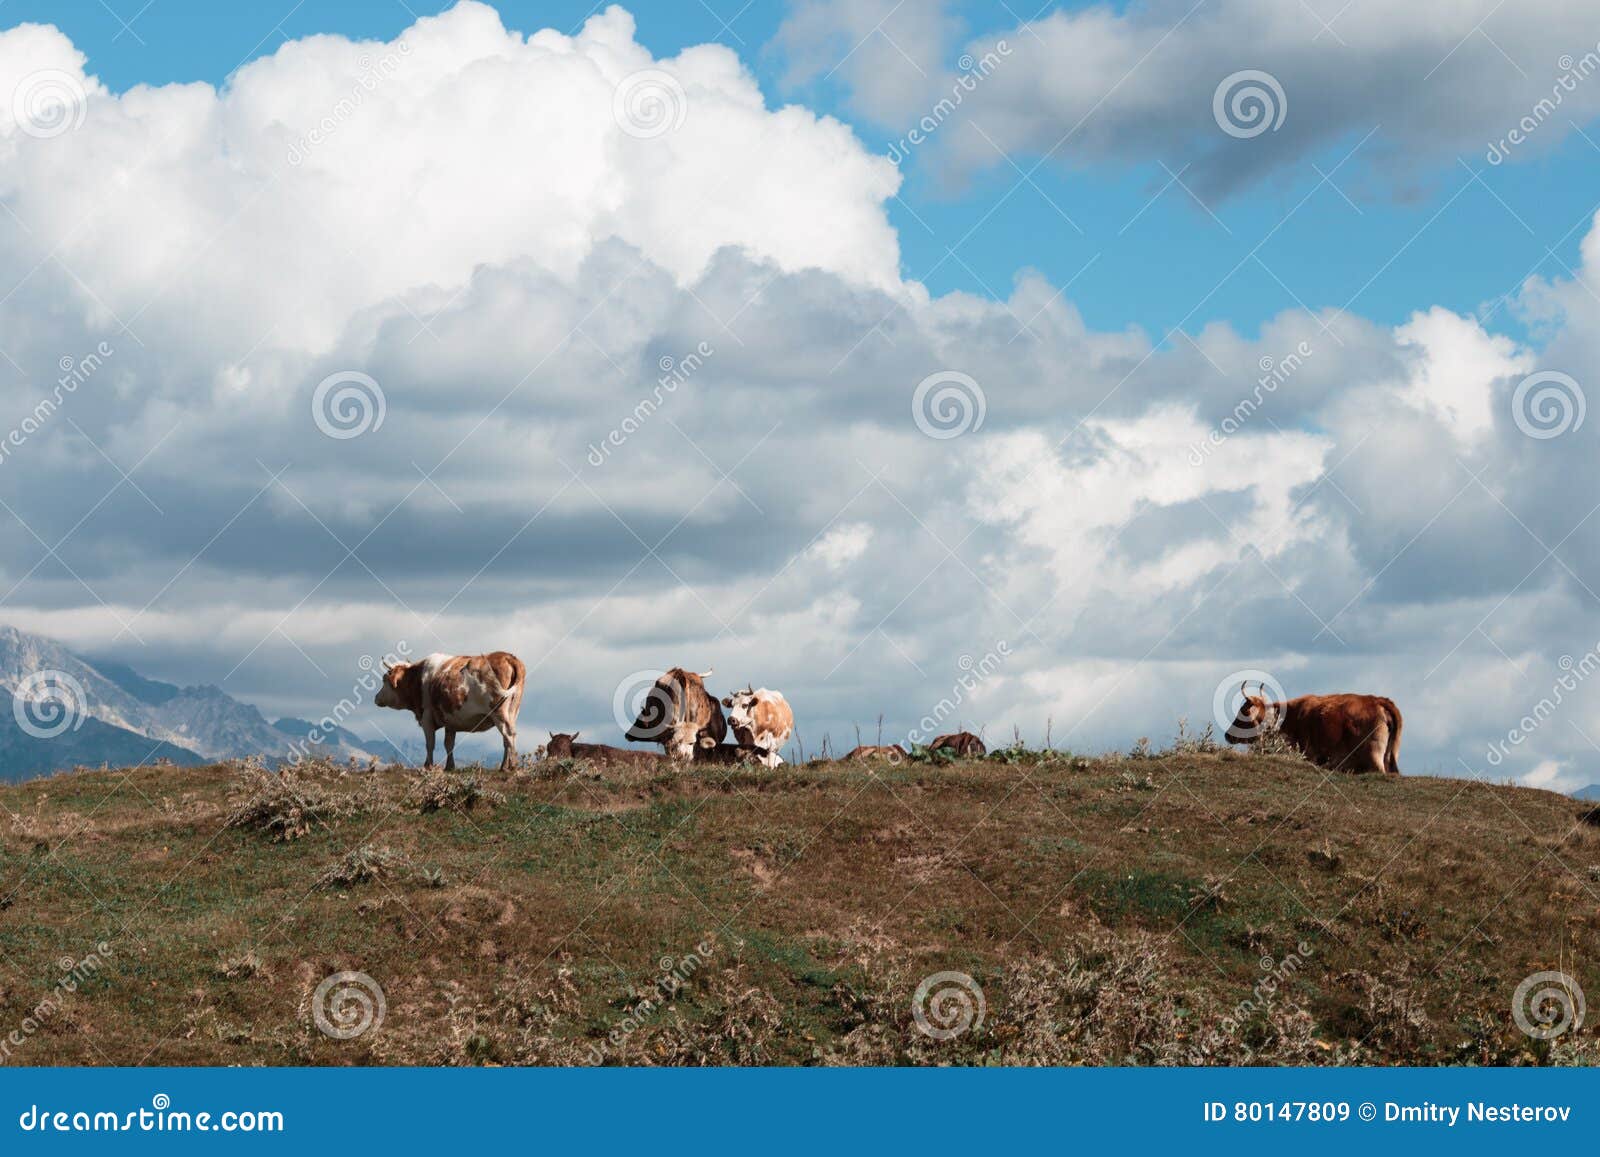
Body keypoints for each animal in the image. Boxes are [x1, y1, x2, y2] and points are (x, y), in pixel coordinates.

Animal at [374, 651, 525, 771]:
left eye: (384, 679)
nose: (376, 698)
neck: (417, 678)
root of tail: (507, 656)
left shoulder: (427, 717)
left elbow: (430, 744)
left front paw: (428, 766)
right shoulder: (450, 721)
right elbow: (449, 744)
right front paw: (449, 767)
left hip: (499, 712)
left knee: (508, 735)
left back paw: (511, 766)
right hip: (512, 713)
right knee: (507, 738)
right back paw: (504, 766)